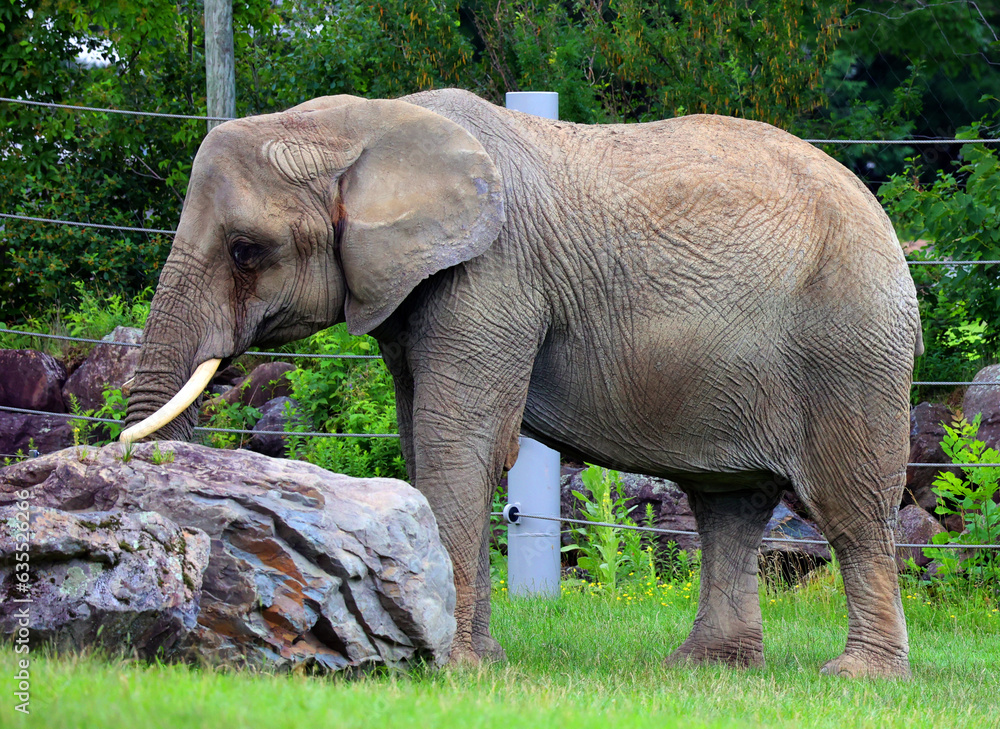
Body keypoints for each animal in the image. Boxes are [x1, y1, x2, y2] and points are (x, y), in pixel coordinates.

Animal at [122, 88, 922, 678]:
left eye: (245, 249)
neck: (363, 124)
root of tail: (888, 223)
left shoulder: (493, 274)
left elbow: (461, 442)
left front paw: (445, 666)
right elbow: (428, 441)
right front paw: (477, 660)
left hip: (851, 346)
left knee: (849, 506)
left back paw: (857, 675)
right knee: (728, 504)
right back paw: (705, 668)